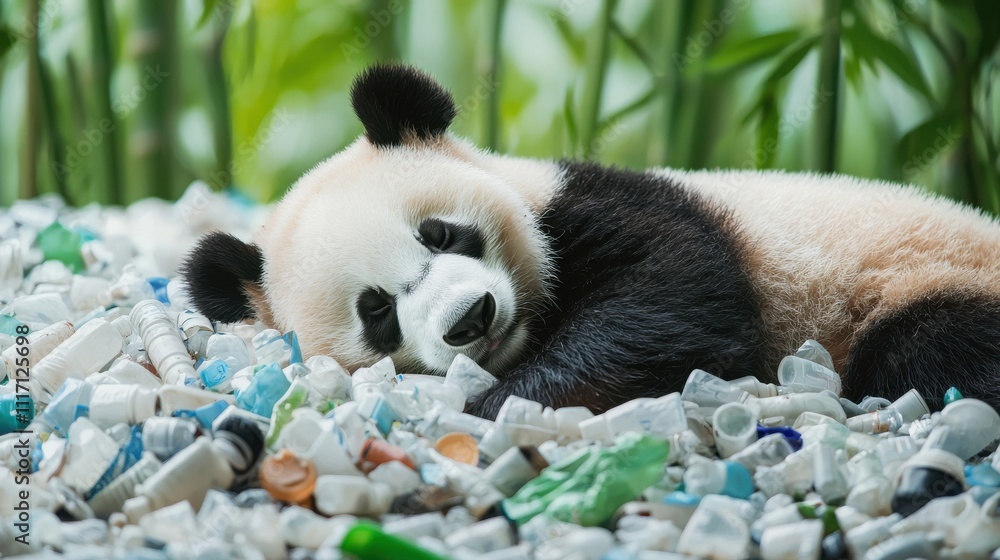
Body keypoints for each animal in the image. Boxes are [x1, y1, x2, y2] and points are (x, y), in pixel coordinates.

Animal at [181, 63, 1000, 419]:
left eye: (441, 233)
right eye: (376, 310)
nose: (469, 319)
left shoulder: (595, 204)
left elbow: (671, 298)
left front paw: (503, 403)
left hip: (921, 276)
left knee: (930, 346)